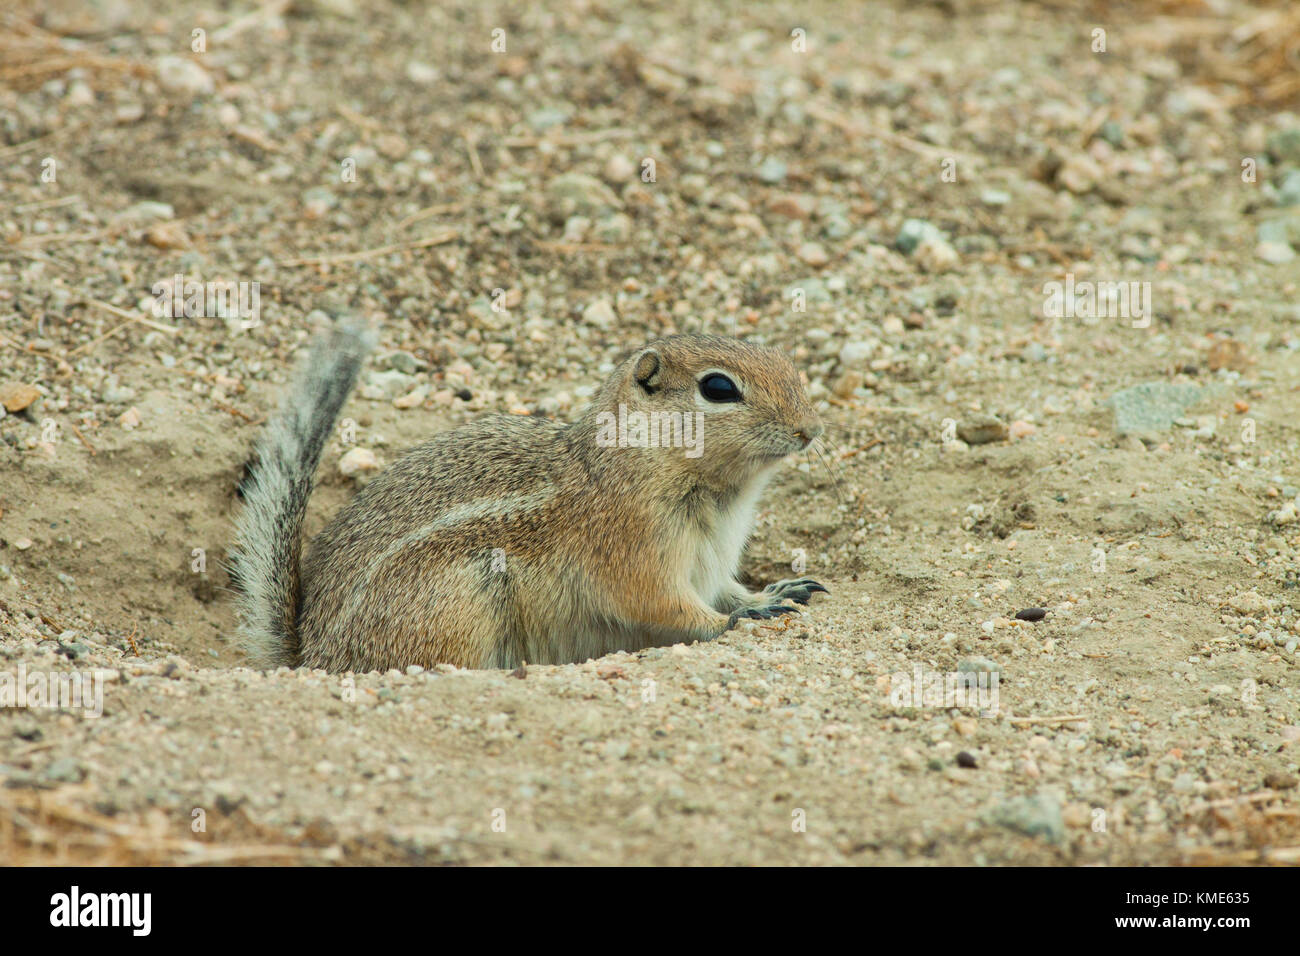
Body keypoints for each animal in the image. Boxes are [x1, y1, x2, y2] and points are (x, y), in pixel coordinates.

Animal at [230, 322, 828, 672]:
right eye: (719, 388)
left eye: (784, 360)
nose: (810, 429)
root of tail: (310, 658)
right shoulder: (635, 551)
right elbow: (670, 607)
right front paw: (744, 616)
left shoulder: (711, 563)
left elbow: (726, 590)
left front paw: (774, 591)